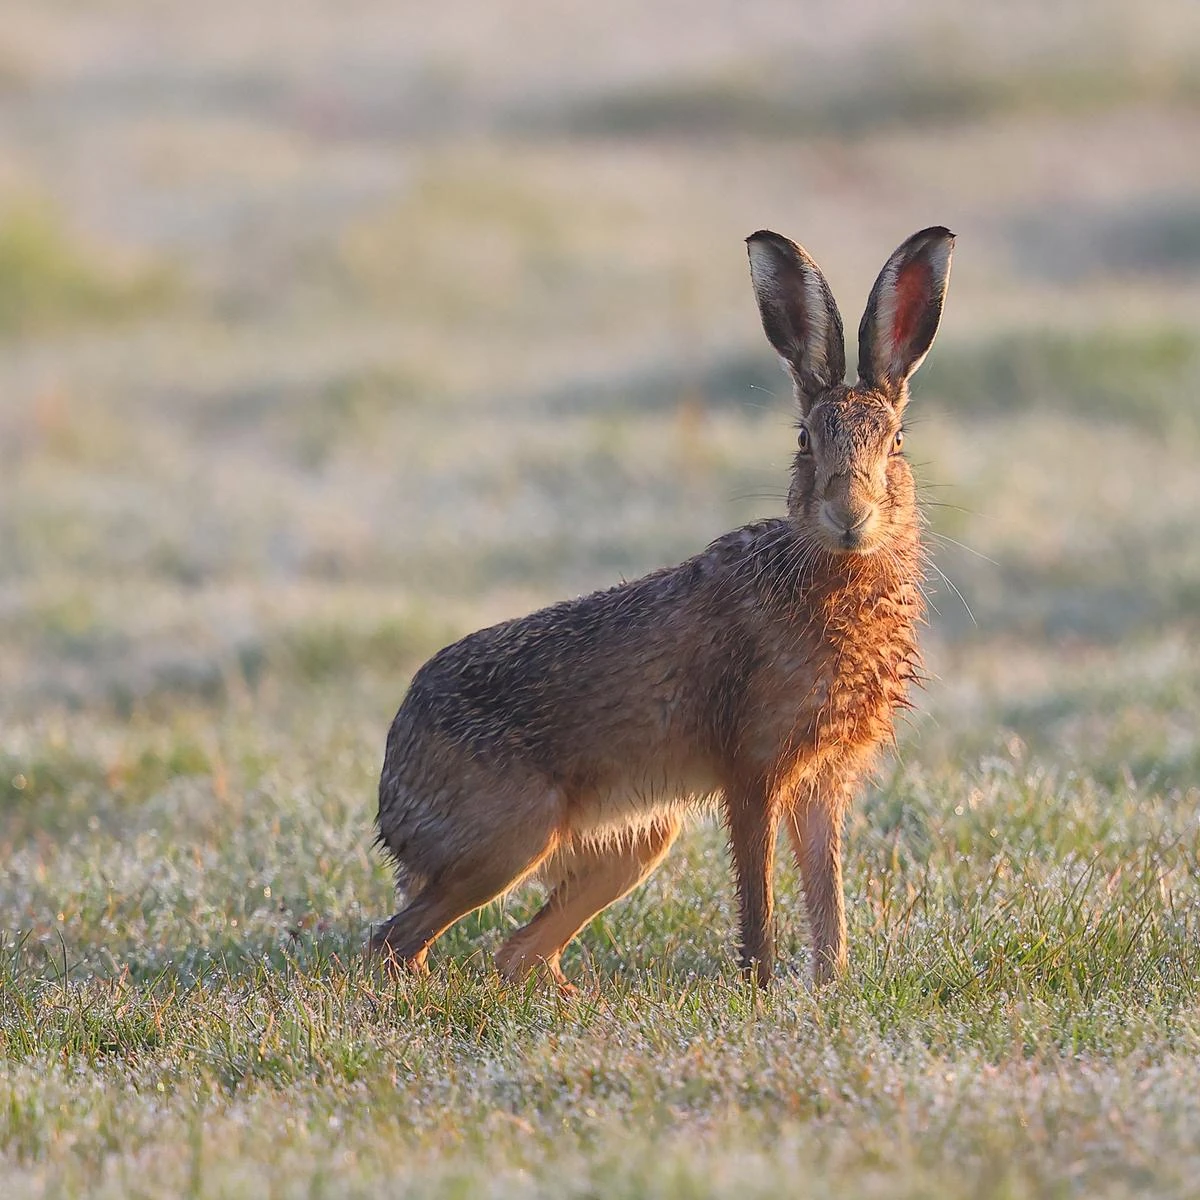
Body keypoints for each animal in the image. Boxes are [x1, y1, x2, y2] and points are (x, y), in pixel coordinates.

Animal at [370, 225, 954, 989]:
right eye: (804, 440)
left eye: (898, 444)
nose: (848, 515)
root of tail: (393, 798)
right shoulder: (753, 770)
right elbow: (759, 899)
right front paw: (759, 988)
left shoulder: (822, 780)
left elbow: (826, 893)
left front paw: (831, 984)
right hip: (509, 841)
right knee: (395, 940)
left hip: (636, 842)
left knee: (517, 953)